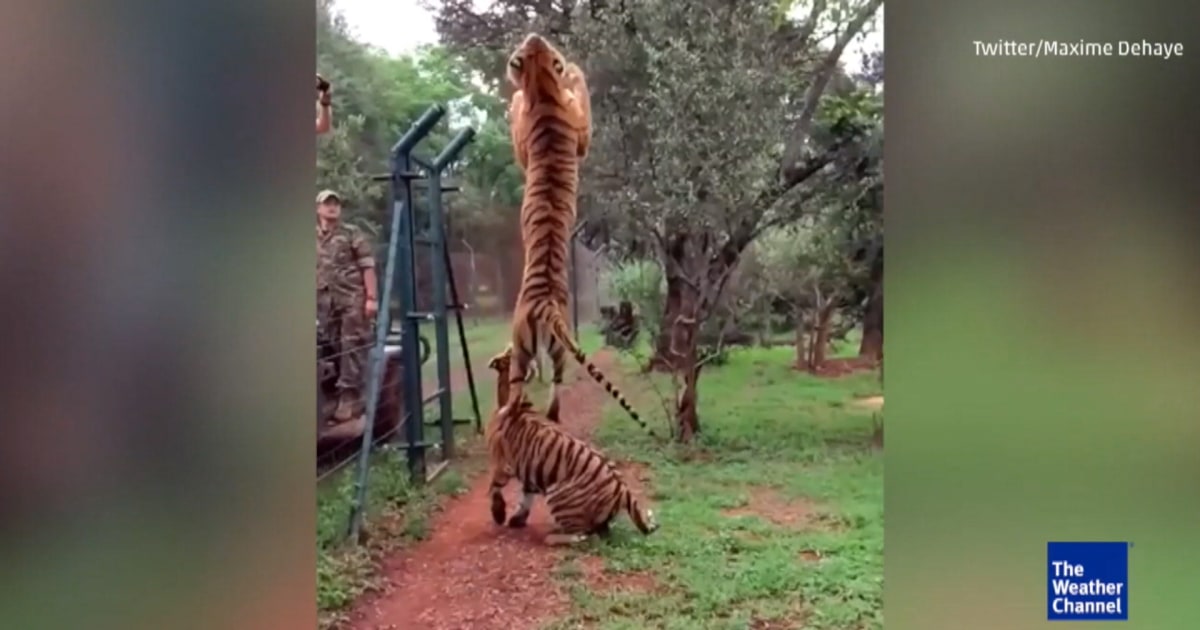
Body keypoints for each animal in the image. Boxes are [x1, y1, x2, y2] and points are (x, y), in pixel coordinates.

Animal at [485, 349, 657, 544]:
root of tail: (623, 491)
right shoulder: (528, 469)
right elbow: (526, 496)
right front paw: (517, 519)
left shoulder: (501, 463)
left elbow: (494, 488)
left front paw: (499, 514)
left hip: (556, 494)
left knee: (584, 535)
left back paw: (552, 536)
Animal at [501, 32, 651, 435]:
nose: (534, 35)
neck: (542, 87)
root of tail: (544, 305)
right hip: (541, 349)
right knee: (539, 387)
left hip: (534, 348)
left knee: (534, 387)